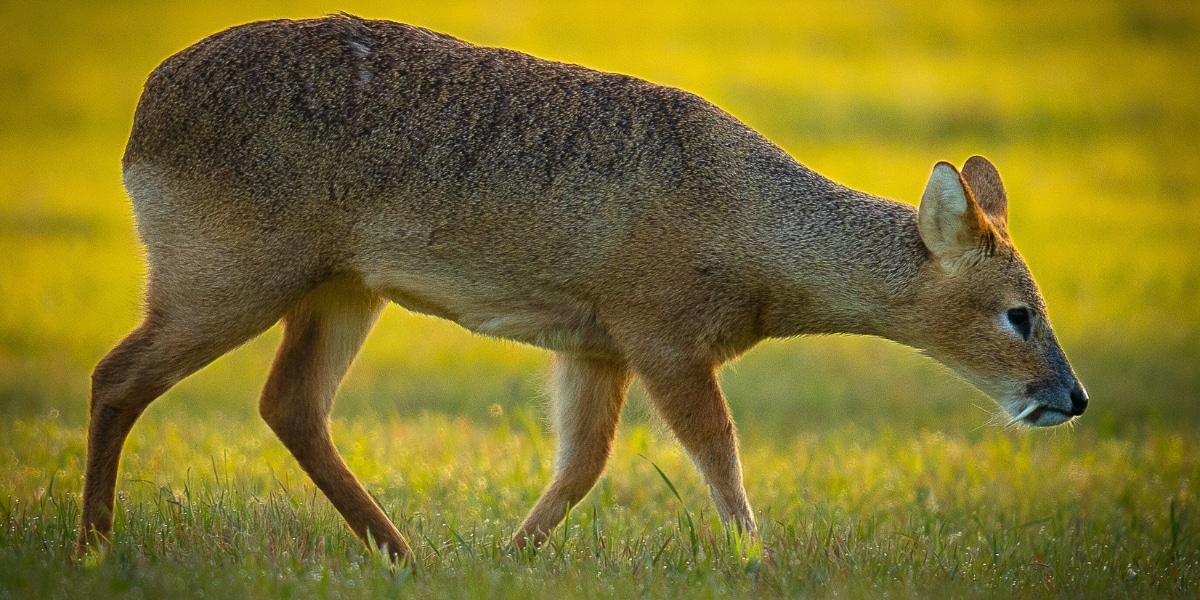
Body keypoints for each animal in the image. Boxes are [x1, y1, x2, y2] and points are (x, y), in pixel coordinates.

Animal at [77, 14, 1088, 563]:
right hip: (227, 274)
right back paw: (93, 547)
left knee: (289, 404)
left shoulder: (596, 343)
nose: (1072, 398)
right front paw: (756, 559)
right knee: (116, 377)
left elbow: (581, 465)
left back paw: (404, 553)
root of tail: (138, 119)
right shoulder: (662, 331)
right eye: (1018, 314)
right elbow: (720, 454)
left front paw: (510, 557)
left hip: (338, 290)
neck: (751, 230)